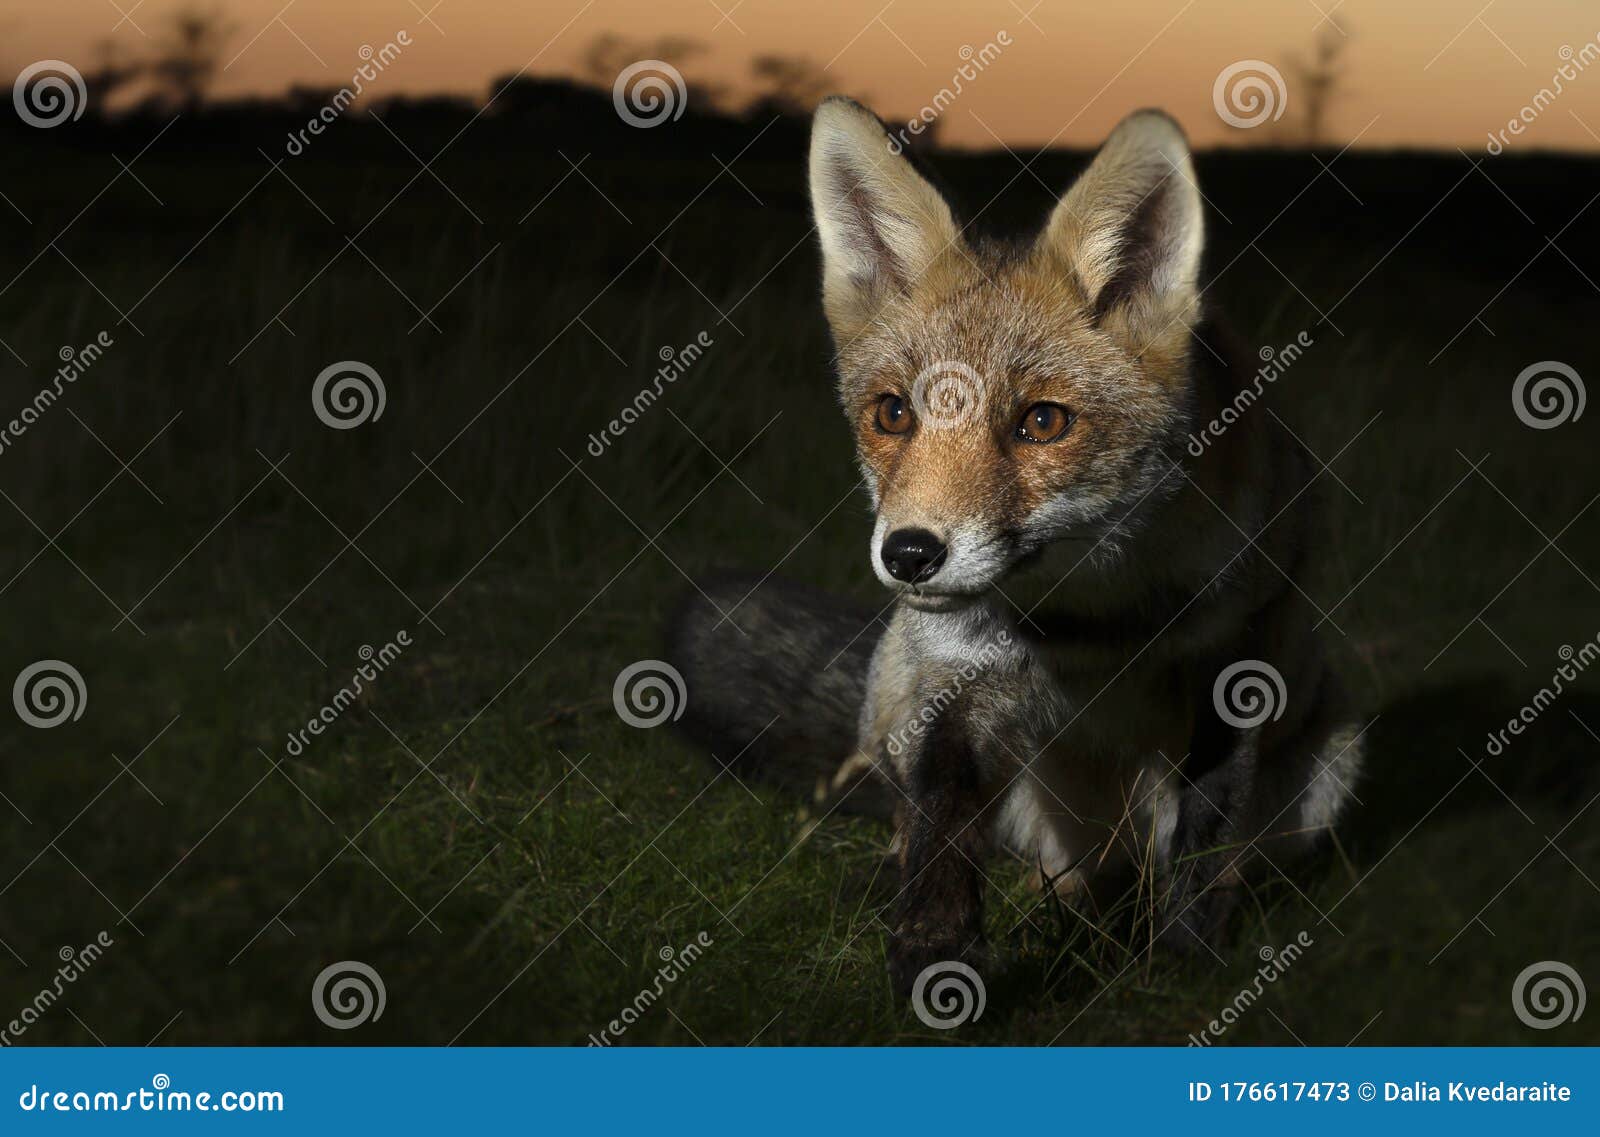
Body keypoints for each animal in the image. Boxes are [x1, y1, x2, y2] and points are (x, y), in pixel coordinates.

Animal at [669, 97, 1363, 999]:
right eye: (892, 413)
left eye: (1042, 422)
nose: (910, 554)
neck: (1089, 619)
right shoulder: (954, 676)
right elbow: (942, 822)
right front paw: (935, 952)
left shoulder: (1238, 659)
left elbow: (1207, 830)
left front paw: (1184, 955)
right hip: (895, 690)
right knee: (965, 841)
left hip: (1330, 754)